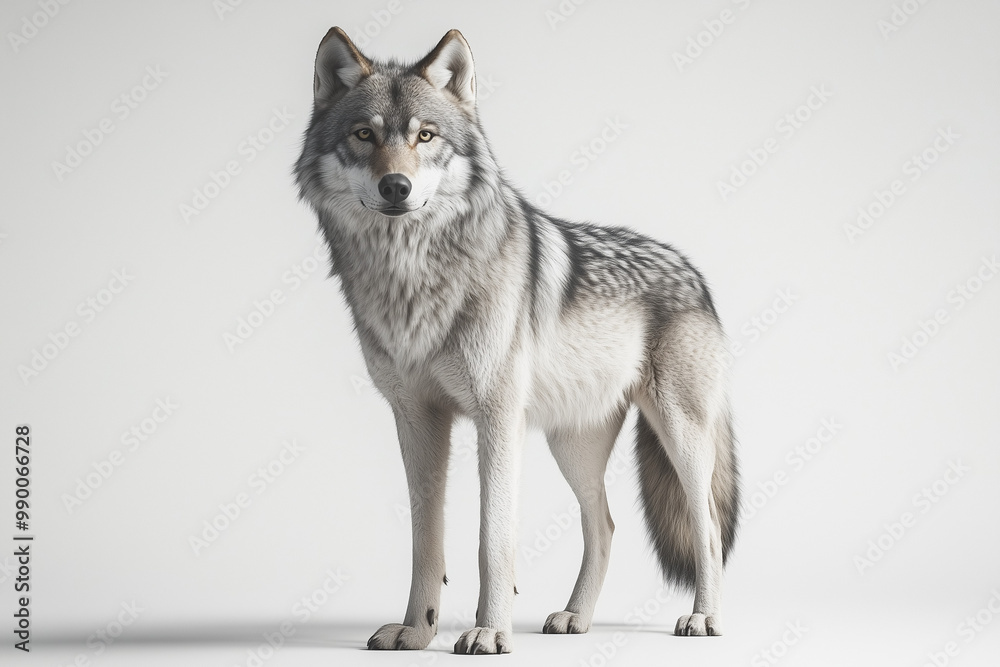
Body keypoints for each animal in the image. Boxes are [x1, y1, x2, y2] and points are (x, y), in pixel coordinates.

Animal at [294, 27, 741, 654]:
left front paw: (489, 631)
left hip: (681, 437)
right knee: (604, 525)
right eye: (365, 135)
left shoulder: (497, 417)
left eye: (425, 135)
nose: (396, 186)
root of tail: (692, 271)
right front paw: (415, 631)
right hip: (571, 446)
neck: (411, 277)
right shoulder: (416, 420)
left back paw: (704, 619)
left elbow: (492, 539)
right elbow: (425, 541)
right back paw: (575, 617)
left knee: (708, 528)